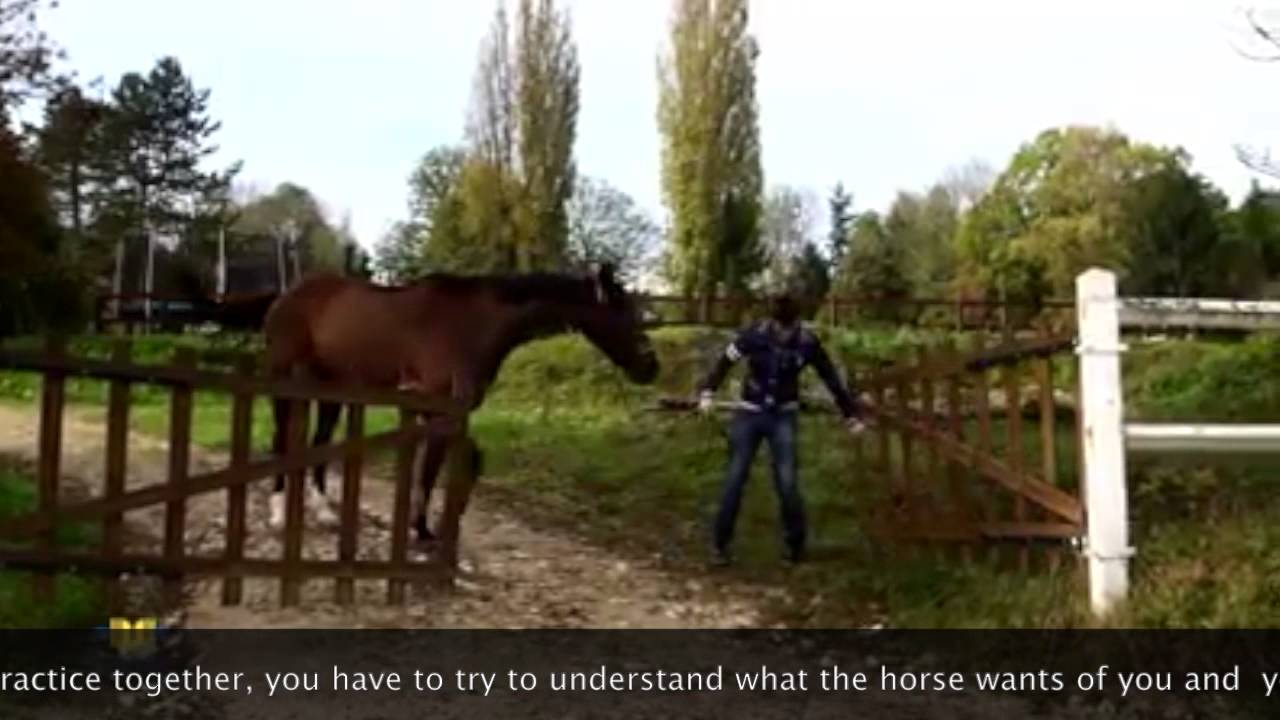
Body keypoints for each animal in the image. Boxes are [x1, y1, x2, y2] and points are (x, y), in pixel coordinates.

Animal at [260, 263, 660, 551]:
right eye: (626, 314)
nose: (651, 367)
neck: (474, 325)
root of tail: (288, 294)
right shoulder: (437, 410)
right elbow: (429, 472)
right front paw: (422, 532)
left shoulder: (451, 414)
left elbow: (469, 461)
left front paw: (438, 525)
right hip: (284, 382)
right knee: (282, 440)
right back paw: (277, 514)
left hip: (333, 392)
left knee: (319, 444)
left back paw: (324, 512)